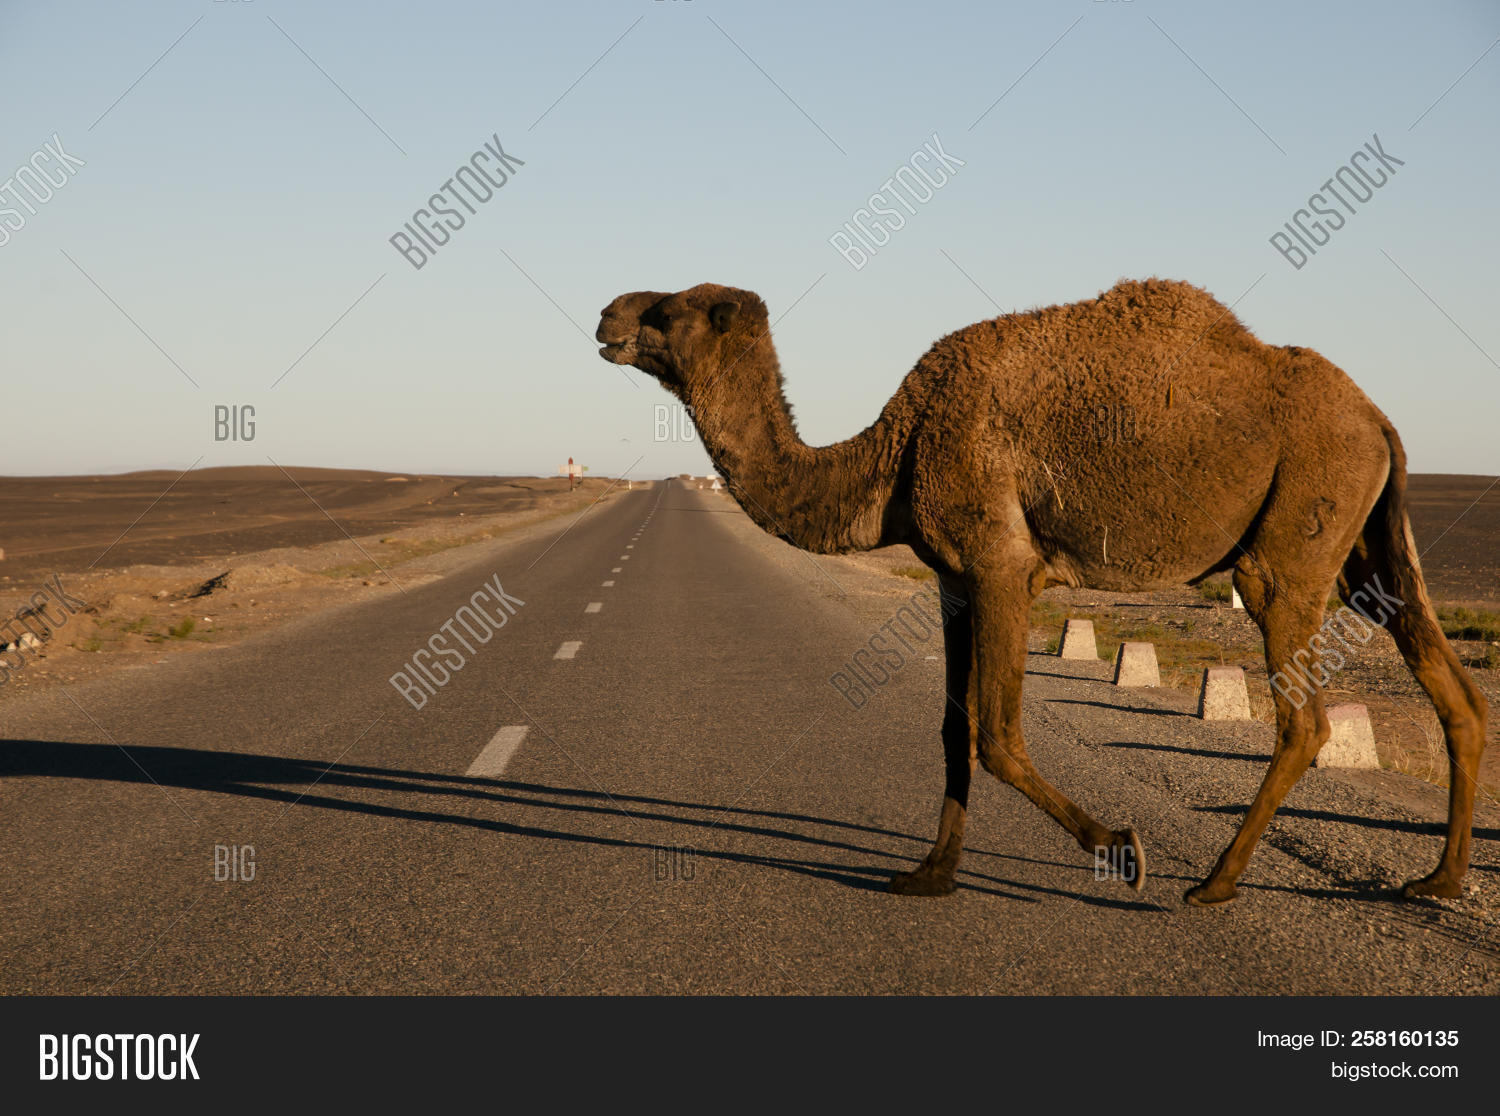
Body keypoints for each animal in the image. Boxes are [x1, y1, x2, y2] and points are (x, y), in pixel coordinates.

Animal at [595, 278, 1488, 906]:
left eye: (669, 310)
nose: (606, 314)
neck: (897, 450)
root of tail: (1377, 417)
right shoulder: (954, 577)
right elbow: (953, 730)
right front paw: (930, 874)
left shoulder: (1001, 563)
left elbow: (996, 735)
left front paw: (1123, 851)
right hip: (1370, 544)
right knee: (1451, 684)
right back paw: (1436, 881)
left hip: (1297, 527)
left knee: (1302, 713)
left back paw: (1214, 883)